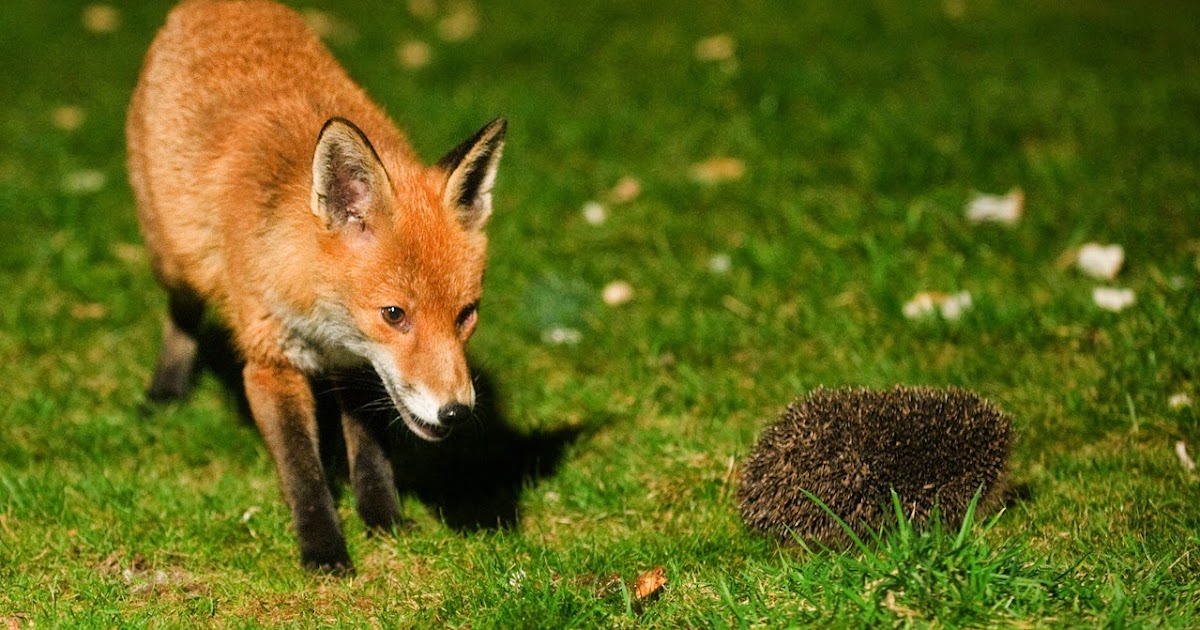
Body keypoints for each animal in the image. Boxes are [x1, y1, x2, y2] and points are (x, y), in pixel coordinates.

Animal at [126, 0, 505, 573]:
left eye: (466, 314)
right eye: (394, 314)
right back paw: (168, 387)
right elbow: (303, 471)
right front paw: (324, 550)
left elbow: (370, 452)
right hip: (171, 255)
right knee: (182, 308)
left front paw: (384, 521)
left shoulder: (357, 366)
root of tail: (215, 6)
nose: (456, 411)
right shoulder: (270, 364)